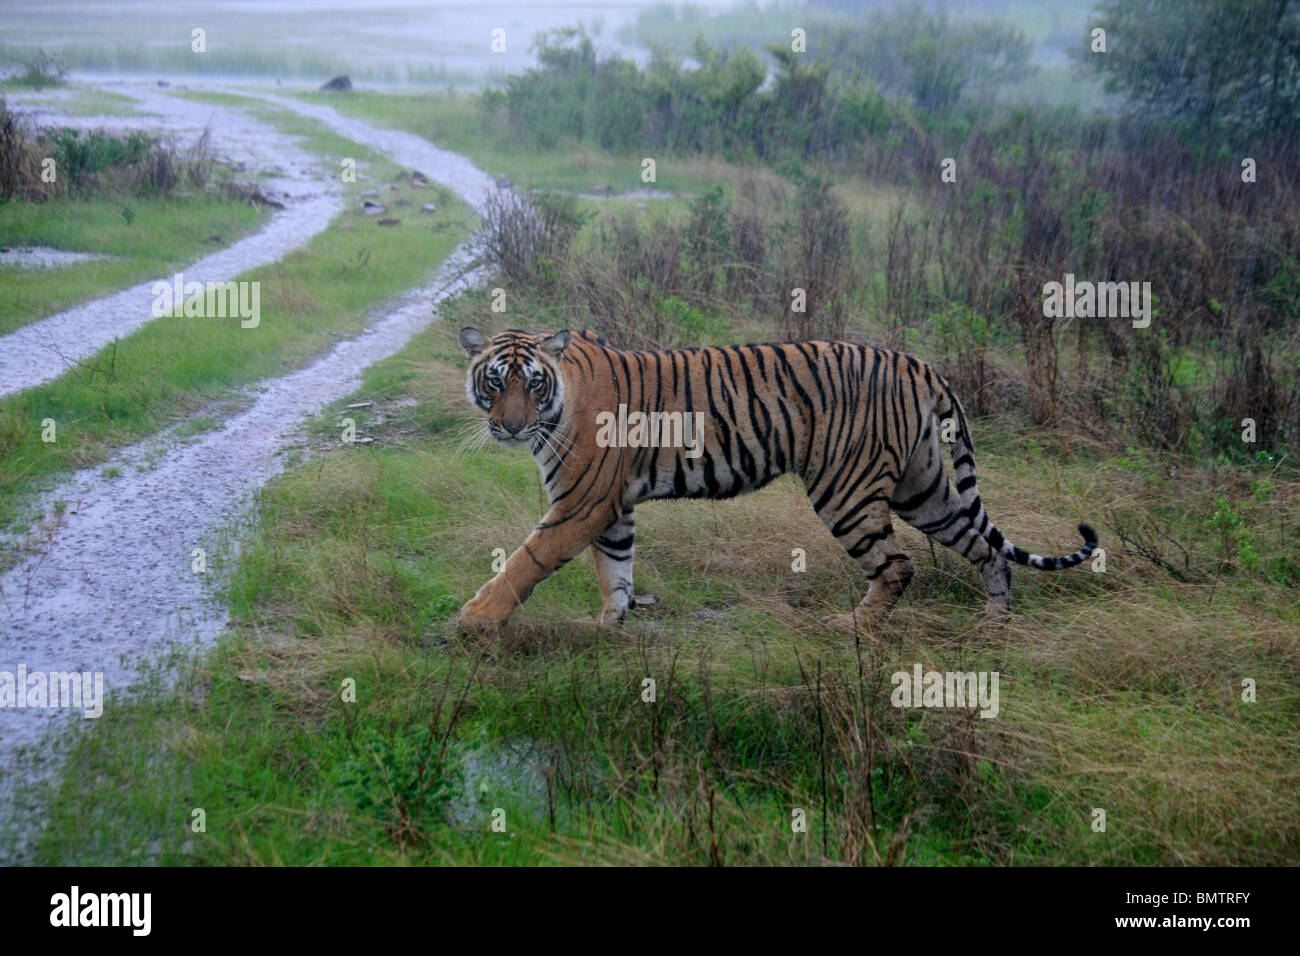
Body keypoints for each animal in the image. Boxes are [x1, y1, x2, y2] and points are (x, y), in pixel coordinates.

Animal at [455, 326, 1097, 635]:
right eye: (495, 381)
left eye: (533, 382)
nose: (510, 426)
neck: (558, 403)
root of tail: (917, 363)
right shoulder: (611, 508)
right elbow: (615, 568)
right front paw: (609, 623)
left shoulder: (582, 502)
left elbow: (527, 560)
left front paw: (477, 619)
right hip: (924, 488)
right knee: (985, 549)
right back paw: (994, 627)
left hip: (848, 490)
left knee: (897, 566)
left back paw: (852, 629)